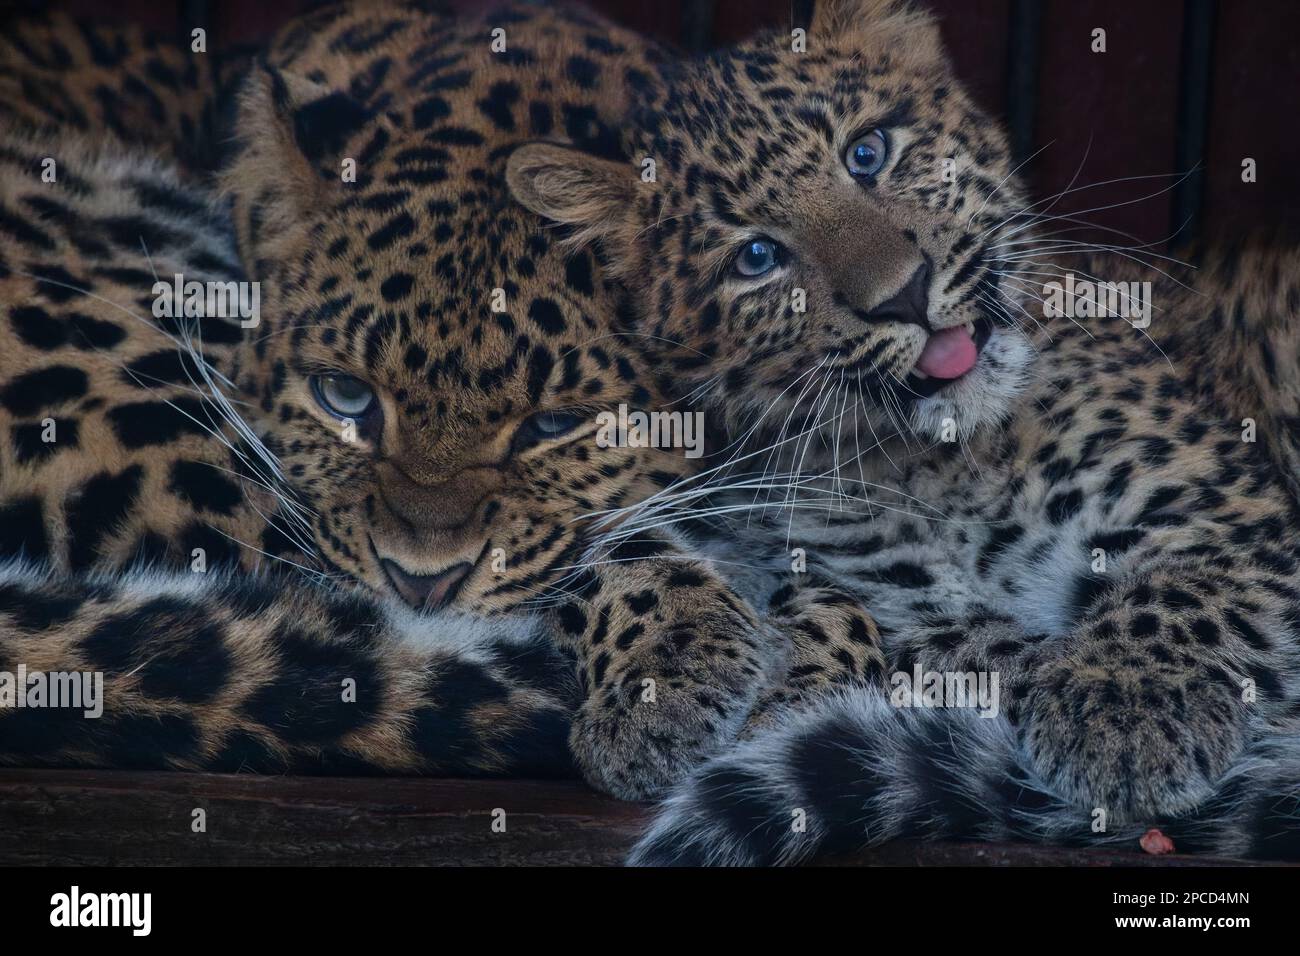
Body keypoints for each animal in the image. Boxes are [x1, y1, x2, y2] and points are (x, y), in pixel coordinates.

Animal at [506, 0, 1300, 861]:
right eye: (756, 257)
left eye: (868, 153)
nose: (905, 295)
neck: (953, 464)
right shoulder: (905, 604)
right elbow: (982, 653)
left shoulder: (1237, 514)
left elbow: (1181, 587)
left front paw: (1125, 709)